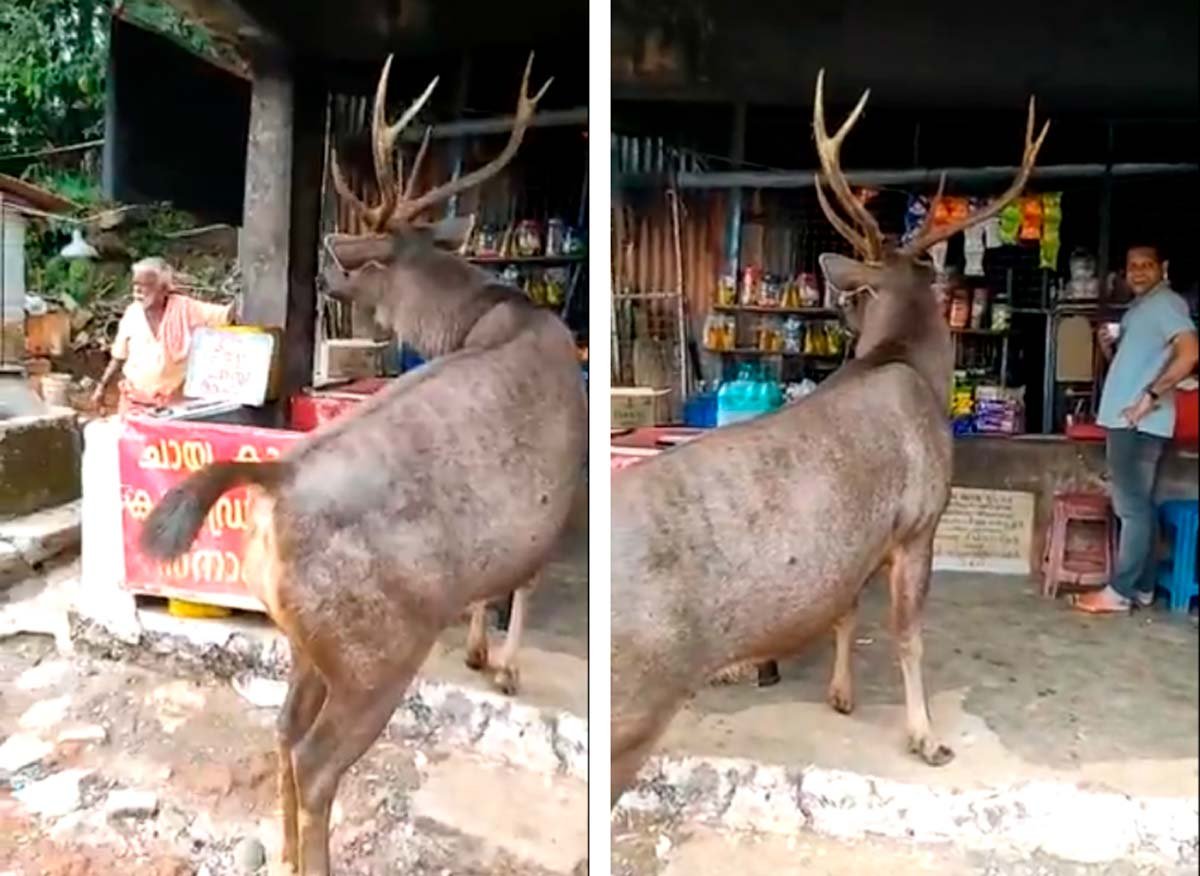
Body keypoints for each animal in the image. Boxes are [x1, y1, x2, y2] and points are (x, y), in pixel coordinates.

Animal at [139, 53, 587, 875]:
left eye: (370, 261)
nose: (327, 275)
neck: (487, 312)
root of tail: (276, 482)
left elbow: (494, 587)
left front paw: (480, 652)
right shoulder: (561, 491)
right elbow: (523, 585)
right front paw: (503, 664)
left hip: (307, 636)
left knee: (283, 729)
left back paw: (284, 854)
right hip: (377, 647)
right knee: (318, 760)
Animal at [610, 71, 1048, 805]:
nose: (838, 311)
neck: (908, 365)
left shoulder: (862, 540)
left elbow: (845, 613)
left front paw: (841, 696)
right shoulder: (920, 519)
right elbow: (907, 634)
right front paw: (927, 738)